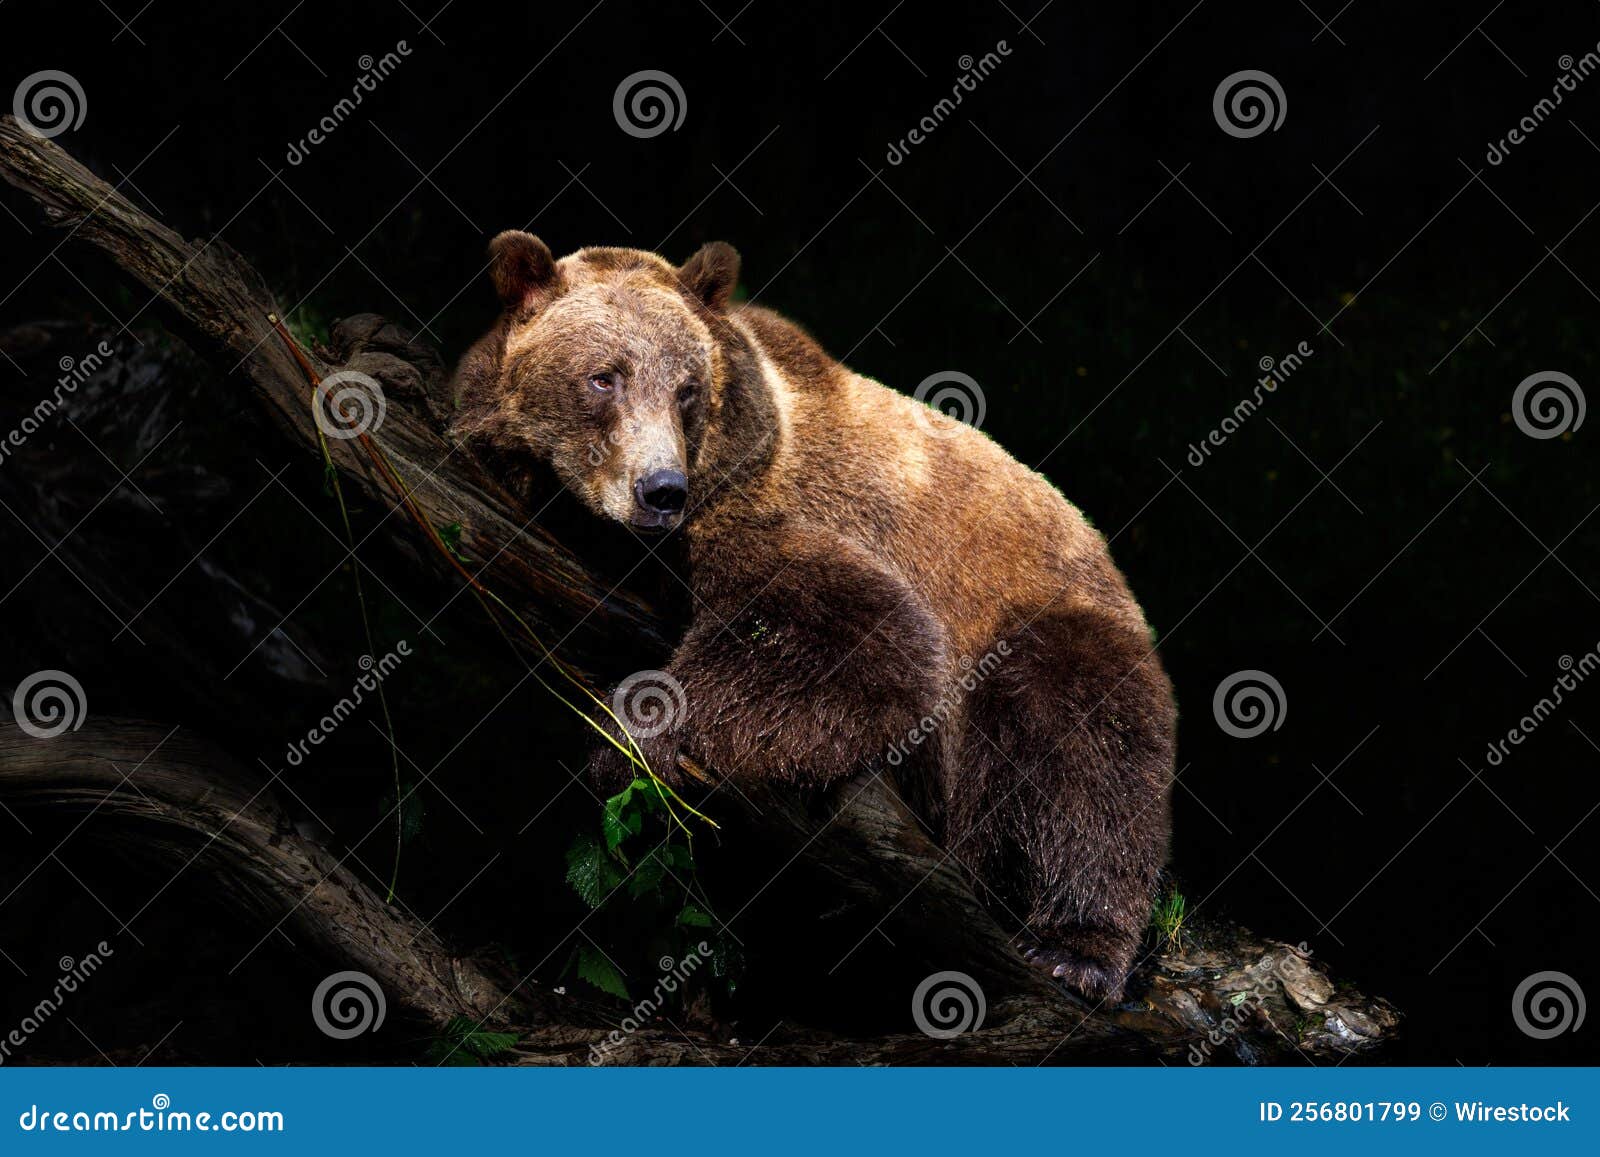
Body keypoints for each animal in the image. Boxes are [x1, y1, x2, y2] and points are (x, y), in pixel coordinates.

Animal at [449, 232, 1176, 1000]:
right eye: (603, 377)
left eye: (685, 389)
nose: (660, 489)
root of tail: (1109, 558)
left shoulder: (762, 512)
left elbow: (864, 637)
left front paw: (631, 731)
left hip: (1039, 616)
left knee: (1080, 755)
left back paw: (1076, 949)